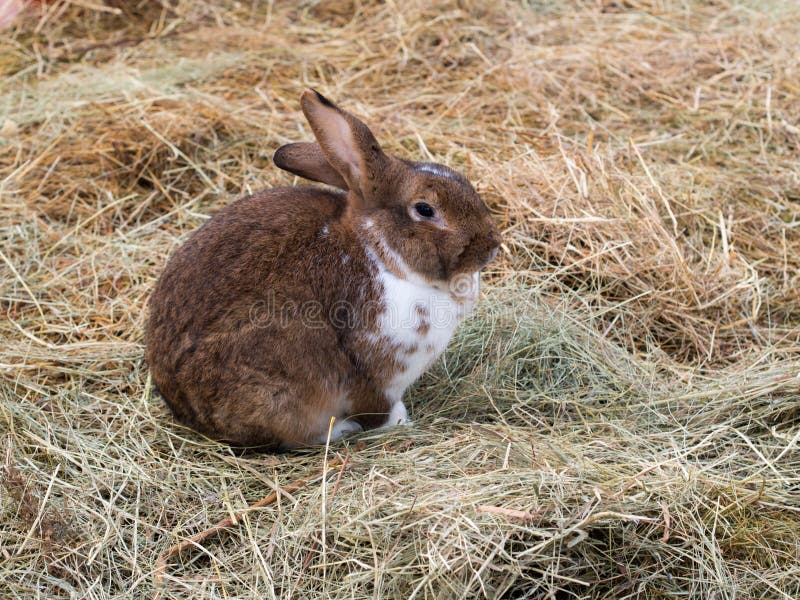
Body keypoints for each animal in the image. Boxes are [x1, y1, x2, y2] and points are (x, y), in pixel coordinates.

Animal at [145, 89, 501, 450]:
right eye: (425, 209)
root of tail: (187, 412)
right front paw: (401, 423)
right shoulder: (376, 372)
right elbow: (379, 408)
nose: (492, 245)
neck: (382, 254)